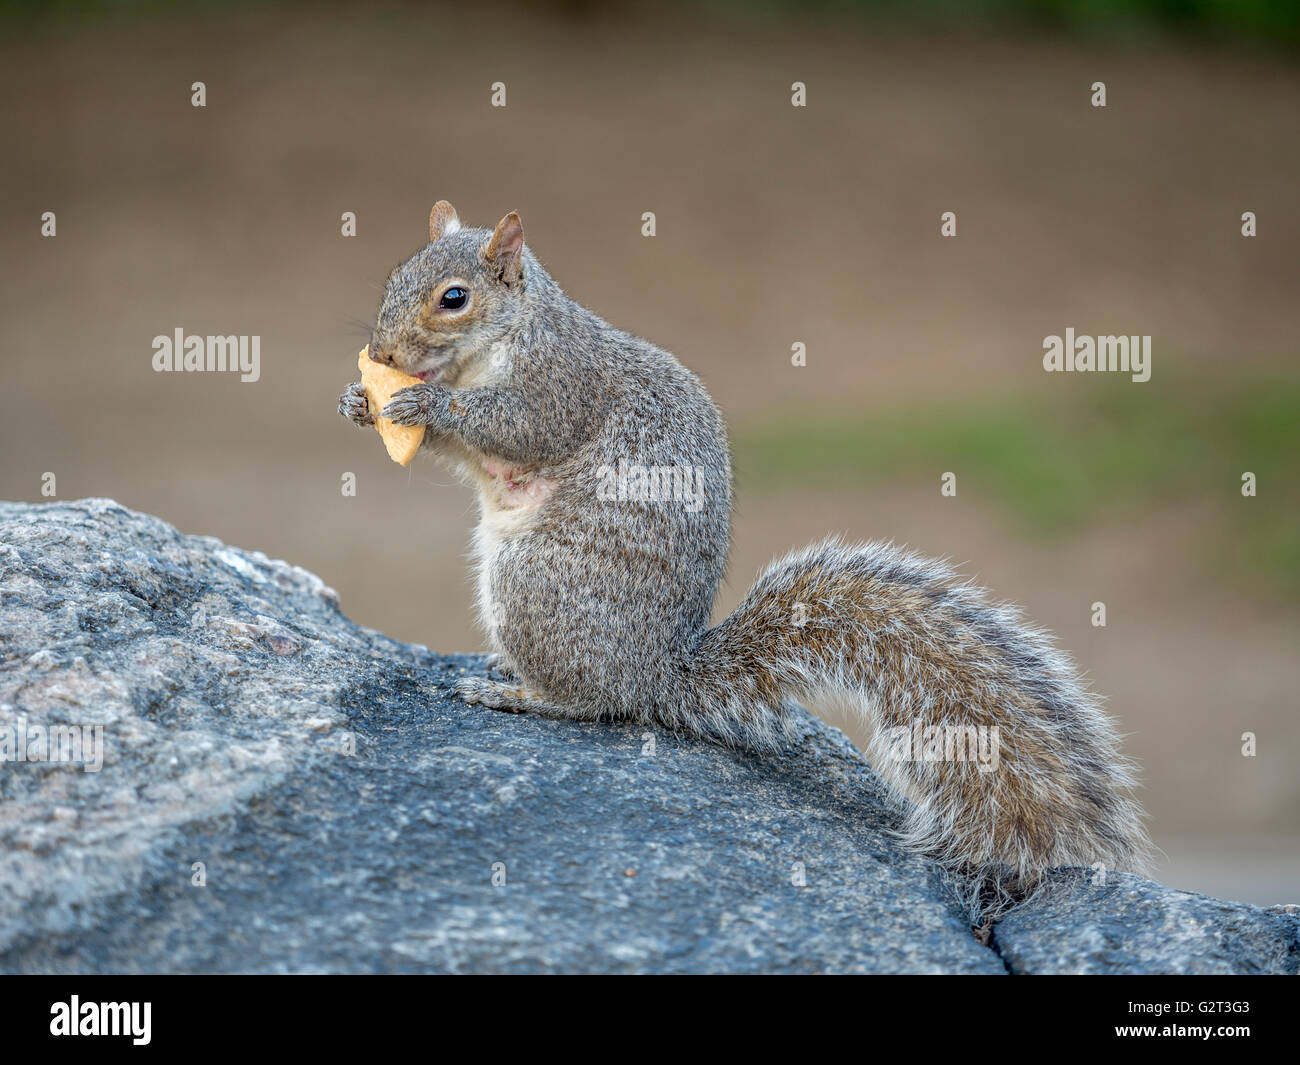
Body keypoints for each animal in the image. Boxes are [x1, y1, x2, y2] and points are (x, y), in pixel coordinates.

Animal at [339, 201, 1152, 917]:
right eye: (395, 274)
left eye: (454, 298)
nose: (384, 355)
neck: (498, 343)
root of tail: (659, 671)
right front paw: (360, 400)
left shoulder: (559, 383)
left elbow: (517, 427)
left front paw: (423, 406)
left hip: (533, 582)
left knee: (597, 701)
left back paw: (521, 694)